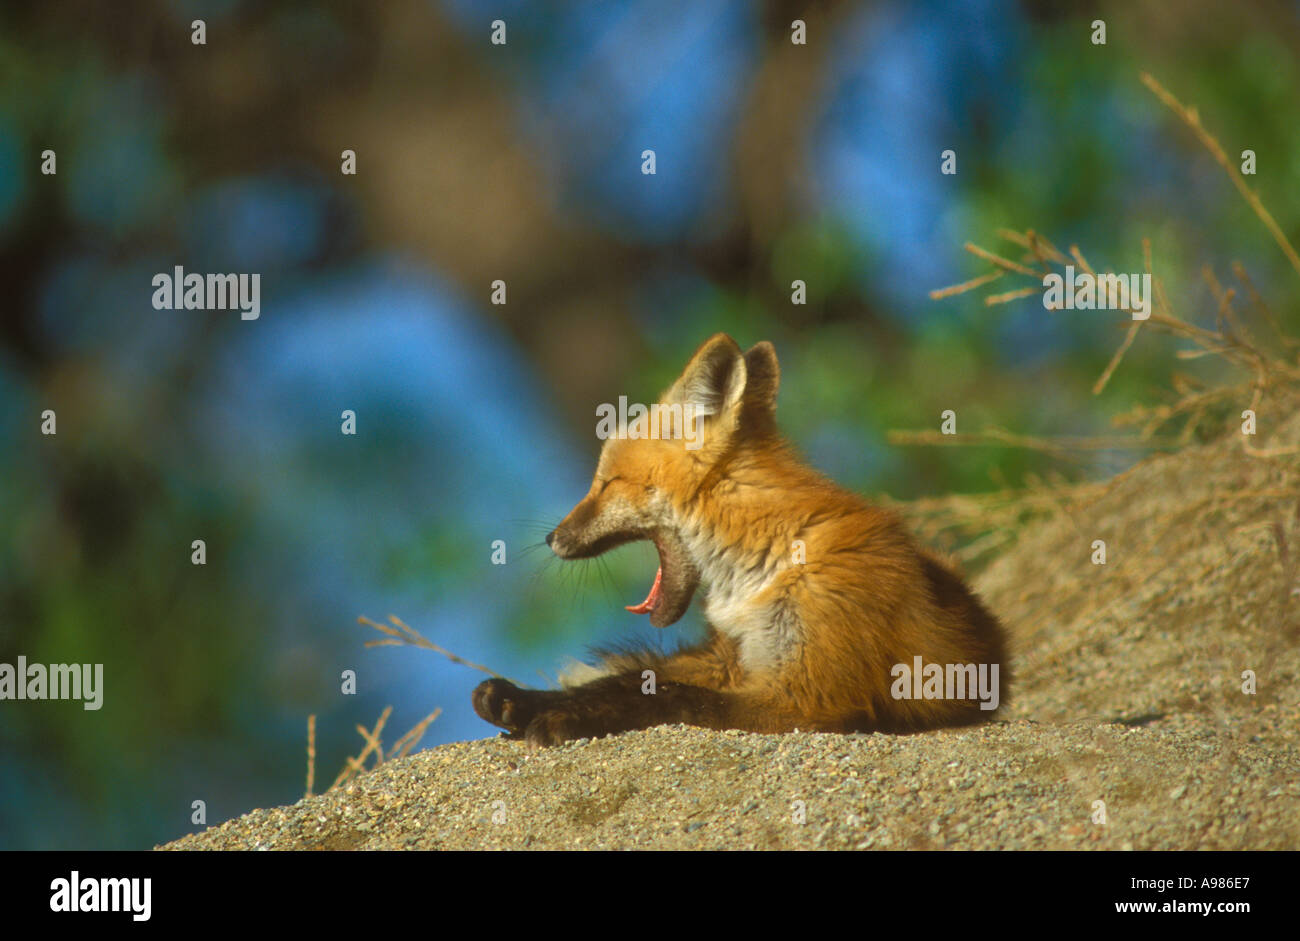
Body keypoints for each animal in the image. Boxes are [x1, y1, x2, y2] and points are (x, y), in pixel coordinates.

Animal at [473, 333, 1010, 745]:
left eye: (606, 484)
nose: (551, 538)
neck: (770, 561)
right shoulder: (737, 663)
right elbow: (631, 681)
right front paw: (535, 701)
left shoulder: (808, 700)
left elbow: (673, 697)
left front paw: (566, 717)